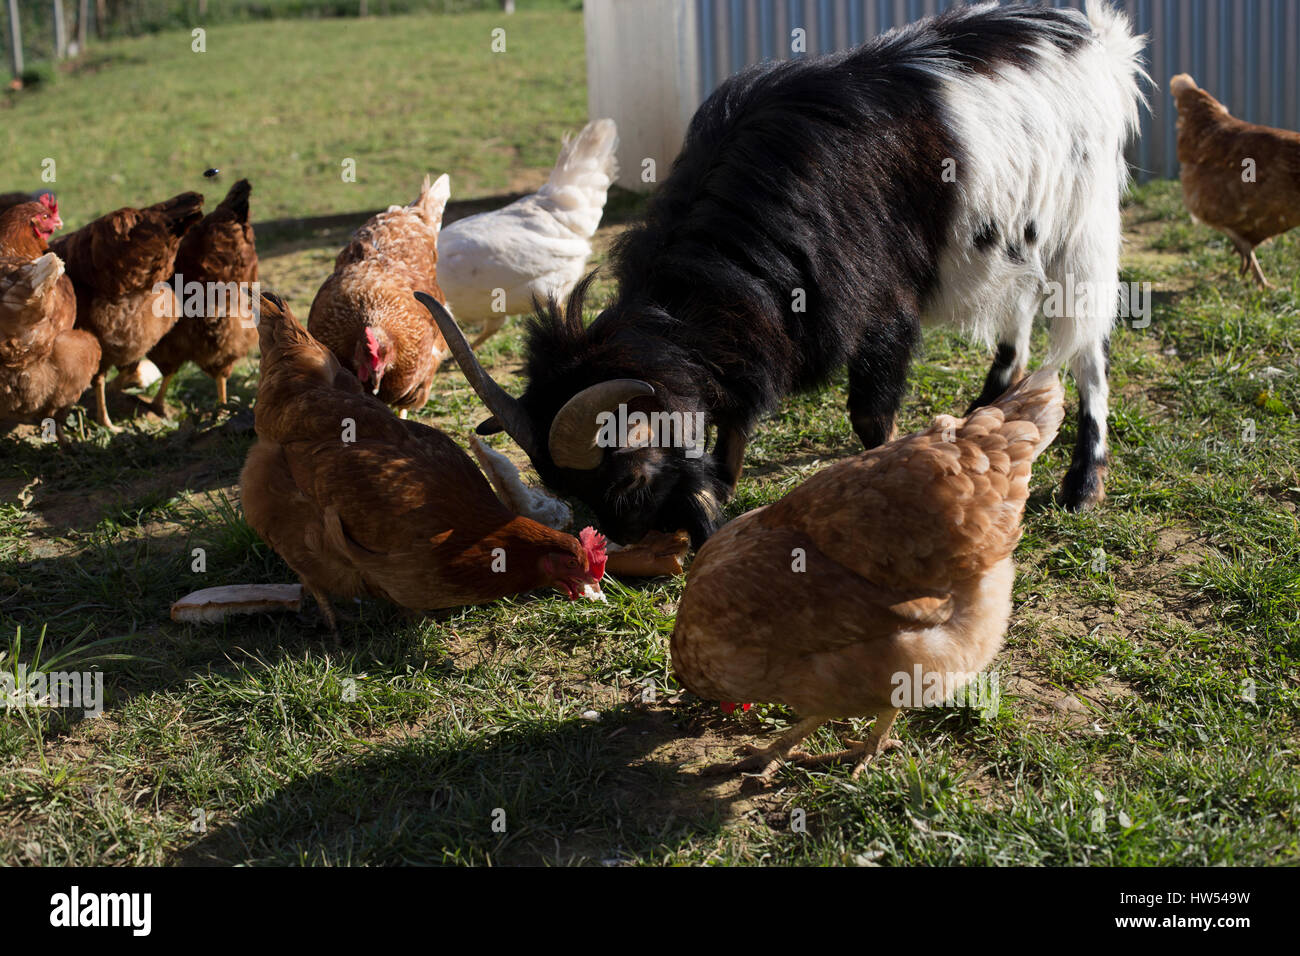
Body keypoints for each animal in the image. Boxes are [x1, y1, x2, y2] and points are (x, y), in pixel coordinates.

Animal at [423, 1, 1147, 547]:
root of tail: (1098, 38)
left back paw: (1083, 482)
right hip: (1016, 238)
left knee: (1089, 345)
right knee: (1018, 317)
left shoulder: (880, 308)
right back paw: (986, 414)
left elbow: (870, 416)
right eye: (561, 488)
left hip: (1083, 229)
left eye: (626, 478)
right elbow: (737, 415)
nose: (645, 544)